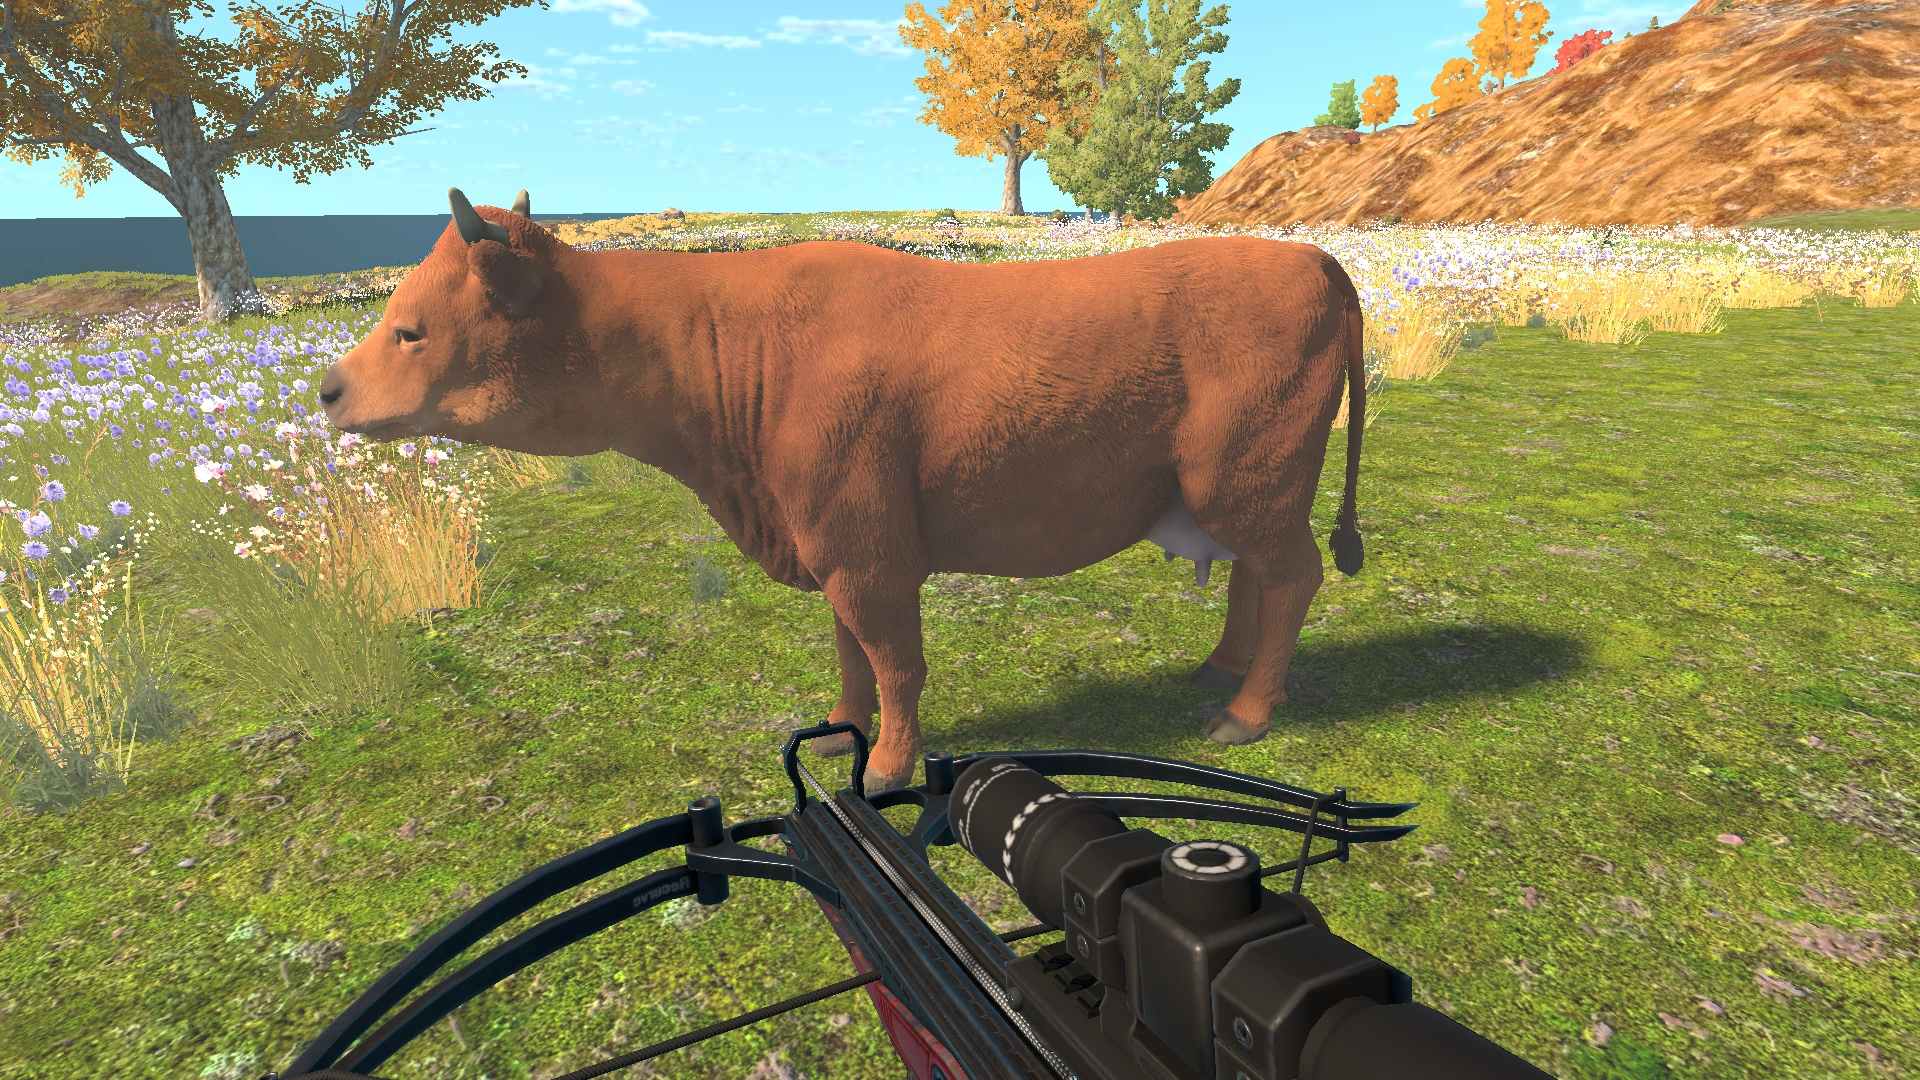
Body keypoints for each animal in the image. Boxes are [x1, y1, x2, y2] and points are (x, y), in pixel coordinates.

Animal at [320, 188, 1367, 791]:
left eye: (412, 329)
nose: (327, 391)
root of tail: (1307, 257)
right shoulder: (829, 546)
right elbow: (853, 660)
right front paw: (837, 740)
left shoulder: (867, 555)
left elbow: (897, 661)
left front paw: (890, 770)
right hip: (1241, 491)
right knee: (1255, 579)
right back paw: (1218, 673)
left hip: (1248, 482)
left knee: (1294, 578)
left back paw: (1245, 715)